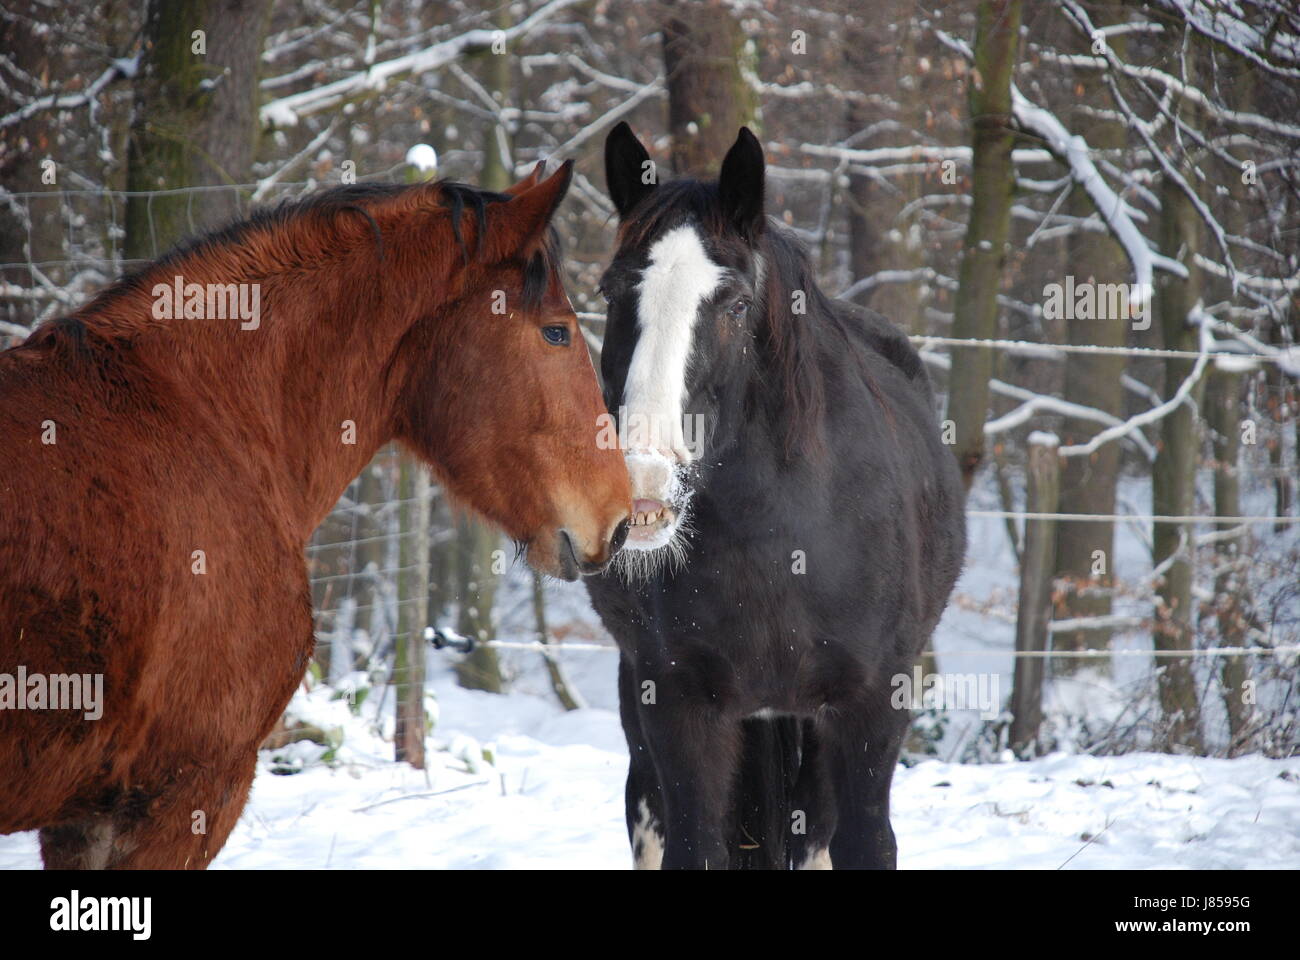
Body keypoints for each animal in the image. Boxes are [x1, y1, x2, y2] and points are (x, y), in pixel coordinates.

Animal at [585, 123, 966, 869]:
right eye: (612, 292)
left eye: (733, 303)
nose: (641, 490)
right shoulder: (677, 704)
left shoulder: (869, 708)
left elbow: (865, 842)